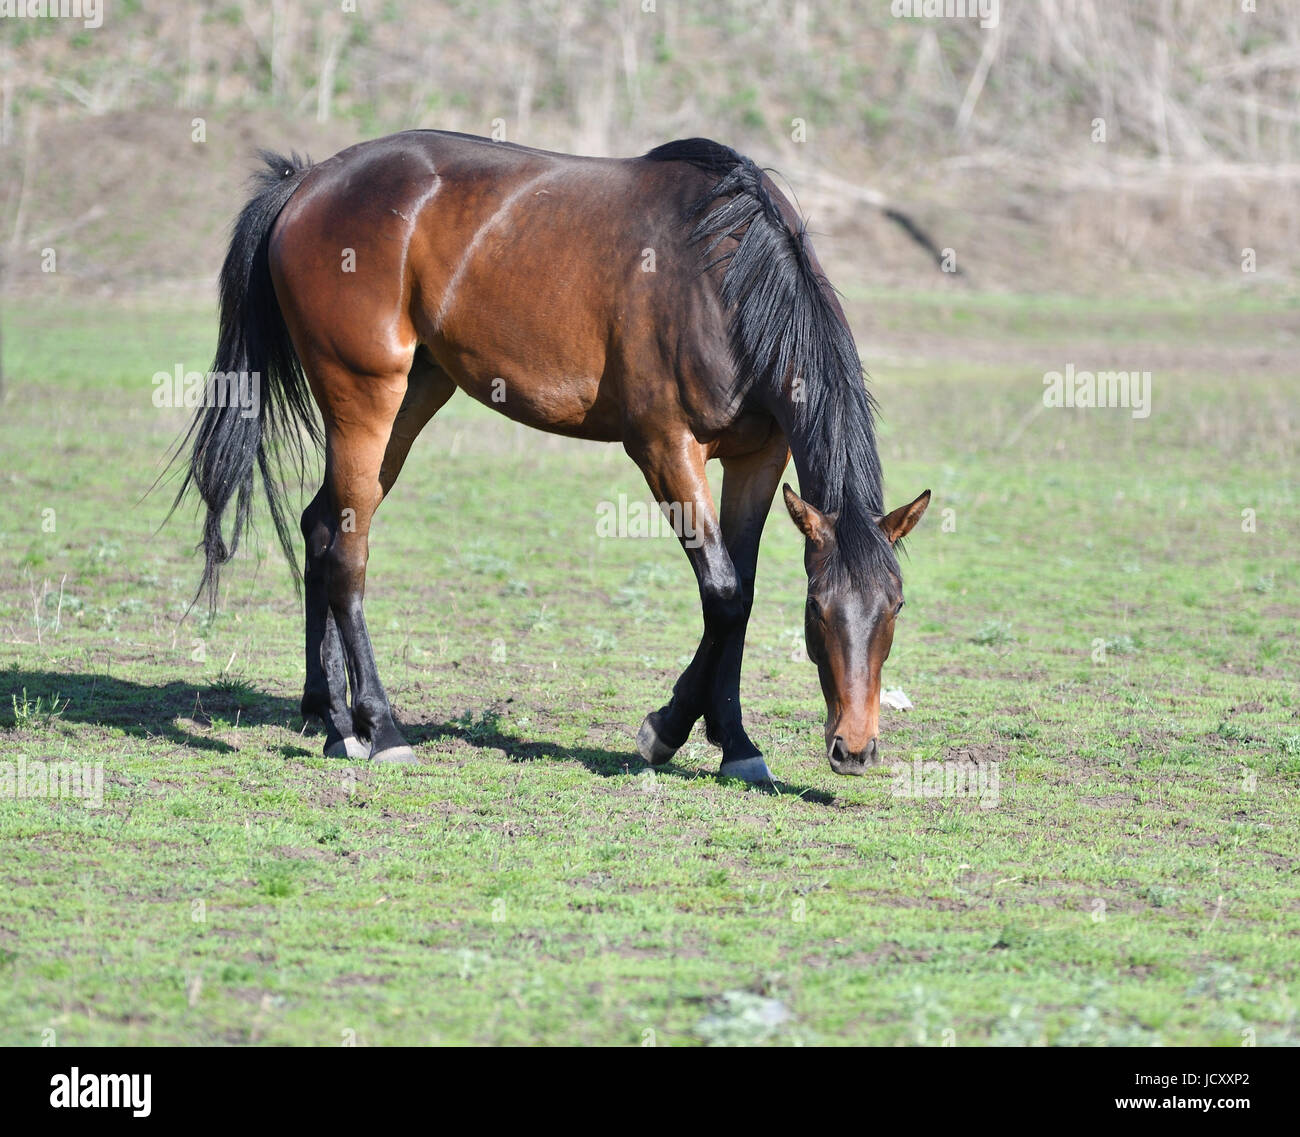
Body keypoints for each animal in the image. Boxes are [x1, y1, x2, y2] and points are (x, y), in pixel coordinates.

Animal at [173, 131, 929, 783]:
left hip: (414, 395)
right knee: (347, 556)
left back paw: (331, 718)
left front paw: (733, 740)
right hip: (365, 396)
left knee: (323, 528)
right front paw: (668, 730)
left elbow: (737, 595)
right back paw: (380, 729)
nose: (855, 748)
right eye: (819, 611)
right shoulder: (664, 447)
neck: (723, 278)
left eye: (893, 605)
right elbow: (721, 591)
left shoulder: (759, 458)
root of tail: (306, 183)